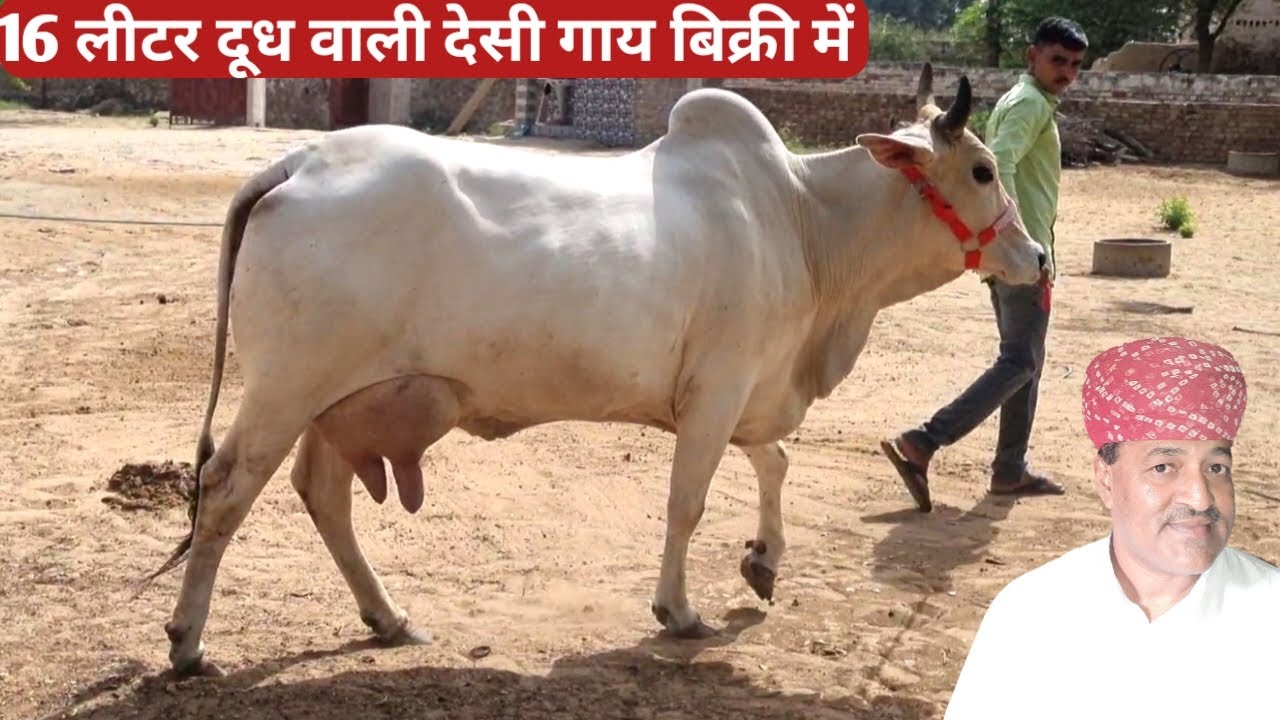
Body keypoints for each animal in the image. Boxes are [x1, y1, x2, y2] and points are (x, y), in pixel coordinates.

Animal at [149, 63, 1046, 678]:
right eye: (981, 170)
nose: (1037, 257)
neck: (801, 220)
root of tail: (299, 162)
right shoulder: (718, 389)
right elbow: (689, 503)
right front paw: (678, 610)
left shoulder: (744, 389)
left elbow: (776, 460)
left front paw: (763, 561)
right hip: (287, 389)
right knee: (224, 490)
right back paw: (189, 644)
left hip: (343, 401)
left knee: (323, 497)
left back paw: (388, 617)